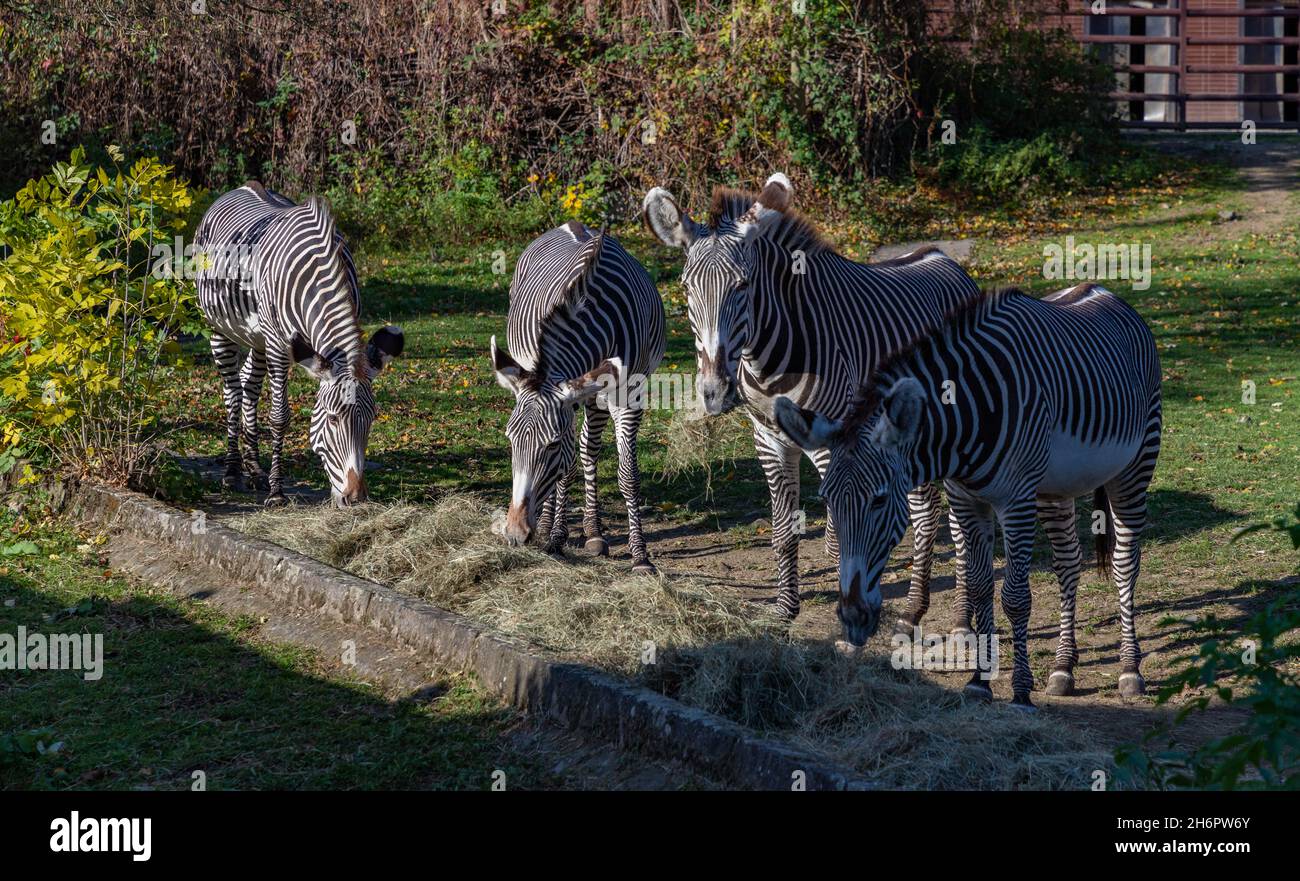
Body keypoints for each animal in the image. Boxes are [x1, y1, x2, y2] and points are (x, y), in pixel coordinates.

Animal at [194, 183, 404, 507]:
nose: (355, 498)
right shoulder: (279, 343)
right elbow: (279, 416)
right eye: (333, 419)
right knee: (232, 391)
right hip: (219, 326)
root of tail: (244, 186)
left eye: (371, 419)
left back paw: (254, 469)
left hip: (257, 337)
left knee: (249, 386)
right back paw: (232, 472)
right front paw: (277, 492)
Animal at [490, 220, 666, 573]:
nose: (514, 533)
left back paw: (593, 530)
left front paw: (640, 556)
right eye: (510, 441)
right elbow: (567, 467)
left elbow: (627, 474)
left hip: (596, 393)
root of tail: (571, 224)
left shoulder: (627, 393)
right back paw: (549, 524)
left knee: (589, 447)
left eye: (551, 445)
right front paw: (556, 537)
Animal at [643, 174, 981, 620]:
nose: (715, 393)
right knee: (926, 507)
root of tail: (946, 260)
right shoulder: (768, 441)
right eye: (685, 289)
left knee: (954, 521)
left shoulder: (830, 442)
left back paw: (950, 612)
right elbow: (784, 529)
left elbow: (845, 527)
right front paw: (786, 608)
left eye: (743, 286)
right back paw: (915, 606)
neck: (766, 361)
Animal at [774, 284, 1162, 708]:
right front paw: (979, 681)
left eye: (879, 500)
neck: (966, 419)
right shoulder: (966, 499)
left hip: (1136, 464)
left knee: (1125, 563)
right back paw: (1064, 667)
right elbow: (979, 588)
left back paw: (1129, 670)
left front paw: (1020, 691)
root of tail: (1104, 291)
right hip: (1056, 487)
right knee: (1068, 564)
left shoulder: (1016, 501)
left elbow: (1014, 597)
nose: (852, 618)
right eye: (828, 500)